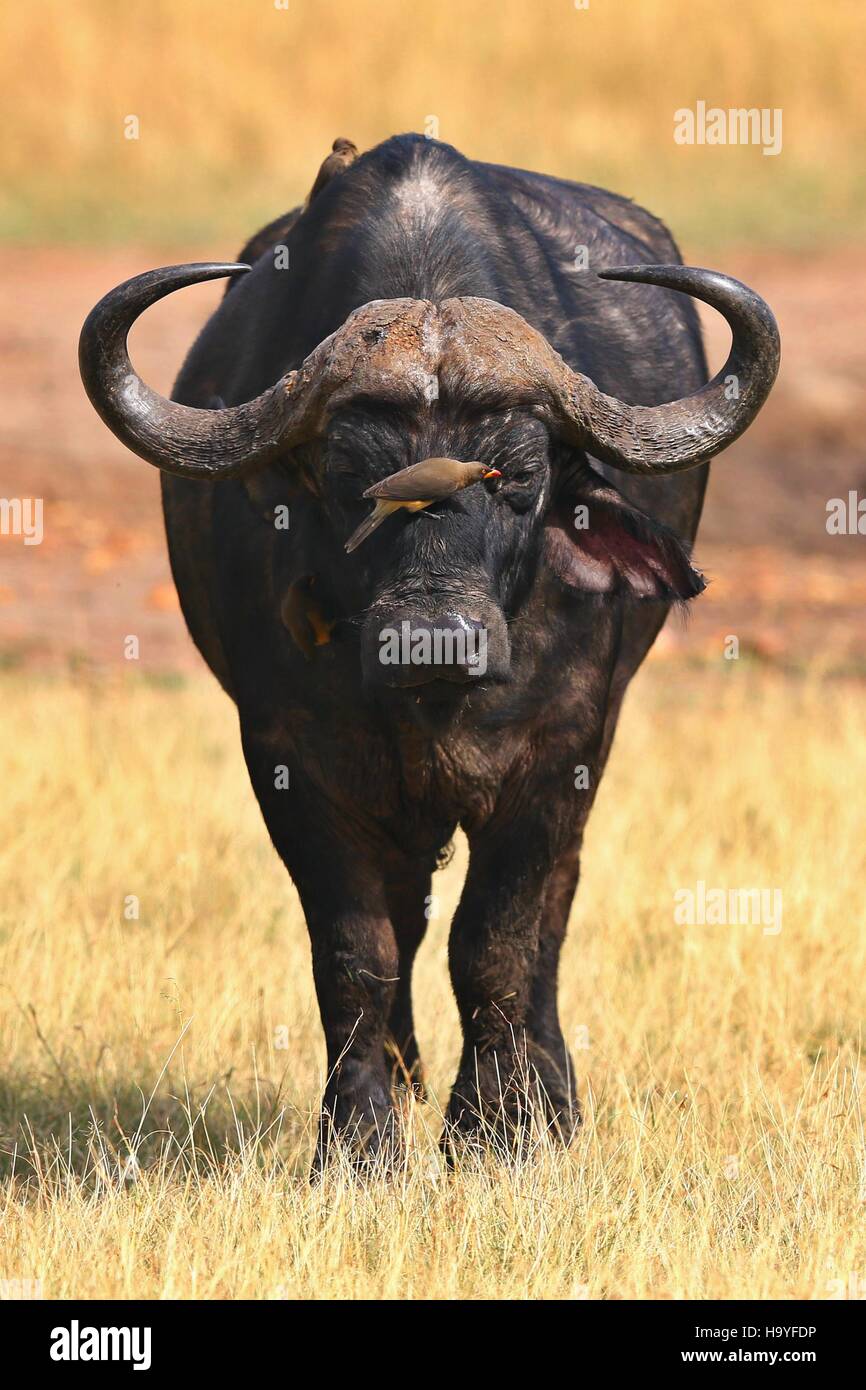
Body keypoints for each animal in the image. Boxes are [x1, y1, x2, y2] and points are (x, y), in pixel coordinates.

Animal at [79, 134, 780, 1166]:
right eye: (349, 478)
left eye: (519, 476)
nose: (434, 639)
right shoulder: (292, 757)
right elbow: (357, 949)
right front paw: (361, 1141)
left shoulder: (559, 753)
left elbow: (498, 938)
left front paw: (499, 1128)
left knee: (547, 920)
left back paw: (552, 1092)